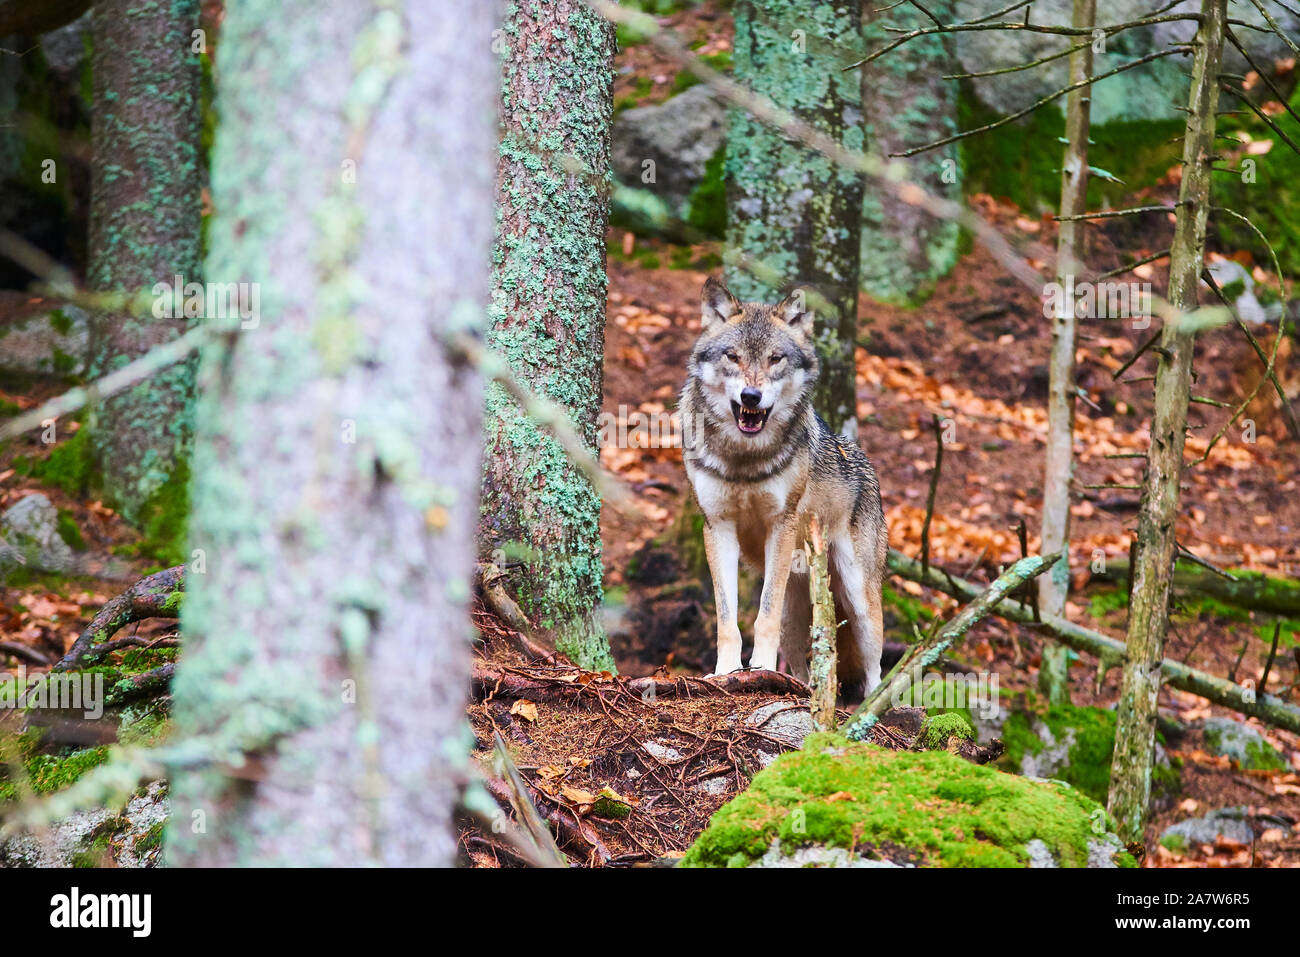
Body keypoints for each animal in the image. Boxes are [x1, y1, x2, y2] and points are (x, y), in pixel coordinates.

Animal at [679, 277, 888, 698]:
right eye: (733, 356)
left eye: (776, 359)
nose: (751, 396)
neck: (744, 461)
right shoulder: (717, 527)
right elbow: (727, 618)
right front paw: (726, 672)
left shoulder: (782, 523)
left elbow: (764, 616)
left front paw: (757, 666)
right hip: (801, 600)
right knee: (801, 658)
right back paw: (800, 687)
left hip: (858, 598)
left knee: (875, 667)